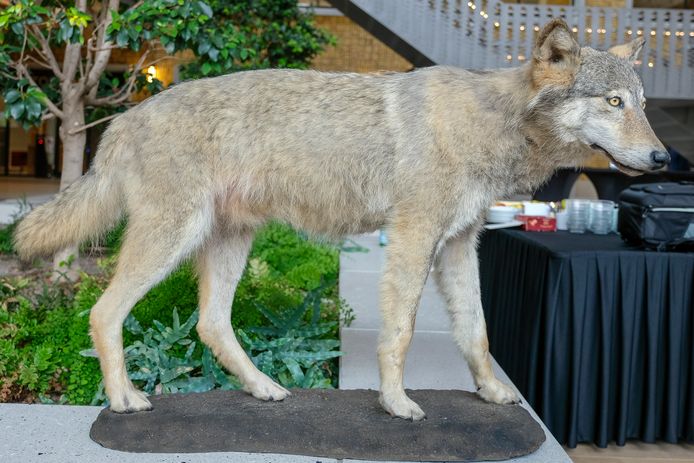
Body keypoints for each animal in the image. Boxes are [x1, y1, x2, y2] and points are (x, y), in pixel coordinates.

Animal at [15, 19, 667, 419]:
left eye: (641, 105)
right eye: (613, 103)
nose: (664, 158)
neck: (492, 121)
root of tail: (123, 120)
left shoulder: (460, 245)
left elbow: (477, 332)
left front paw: (491, 391)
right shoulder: (413, 239)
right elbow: (400, 333)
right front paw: (395, 404)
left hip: (227, 245)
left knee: (210, 325)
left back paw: (266, 389)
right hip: (171, 241)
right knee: (104, 312)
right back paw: (124, 399)